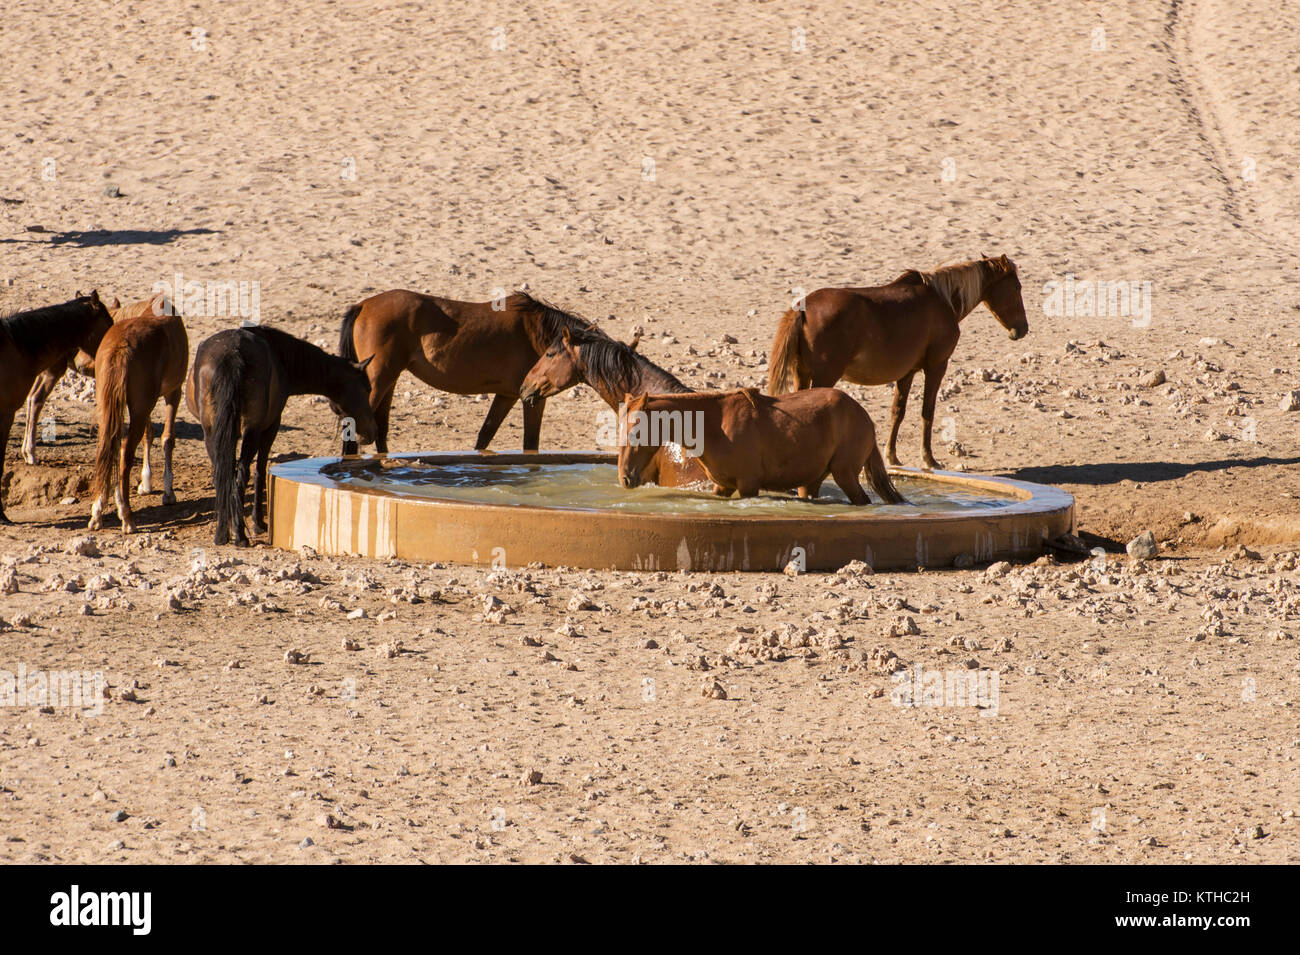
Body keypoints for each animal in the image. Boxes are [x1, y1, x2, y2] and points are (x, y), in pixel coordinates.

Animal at [87, 298, 189, 534]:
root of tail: (121, 347)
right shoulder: (173, 392)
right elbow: (167, 439)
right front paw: (168, 492)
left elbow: (148, 435)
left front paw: (146, 483)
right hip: (142, 407)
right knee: (125, 452)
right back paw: (126, 515)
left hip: (114, 407)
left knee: (107, 448)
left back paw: (98, 511)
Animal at [186, 324, 376, 546]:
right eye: (367, 388)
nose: (371, 432)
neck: (281, 357)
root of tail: (232, 355)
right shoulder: (270, 427)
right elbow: (259, 472)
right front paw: (258, 523)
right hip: (251, 432)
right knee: (243, 474)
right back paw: (240, 535)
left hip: (212, 434)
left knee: (223, 476)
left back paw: (222, 533)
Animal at [338, 289, 596, 453]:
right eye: (549, 356)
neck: (537, 333)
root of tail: (363, 305)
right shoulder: (533, 398)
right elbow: (530, 443)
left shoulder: (508, 395)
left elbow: (484, 436)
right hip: (378, 384)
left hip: (388, 382)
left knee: (379, 431)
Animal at [618, 388, 904, 505]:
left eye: (637, 431)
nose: (625, 478)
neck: (716, 425)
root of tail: (864, 416)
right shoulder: (723, 486)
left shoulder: (748, 485)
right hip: (811, 482)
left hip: (845, 475)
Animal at [767, 254, 1029, 470]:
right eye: (1016, 287)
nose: (1022, 329)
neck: (941, 300)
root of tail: (802, 309)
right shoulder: (936, 367)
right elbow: (927, 412)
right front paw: (929, 459)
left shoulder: (907, 373)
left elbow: (898, 412)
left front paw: (892, 456)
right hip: (824, 377)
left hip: (802, 374)